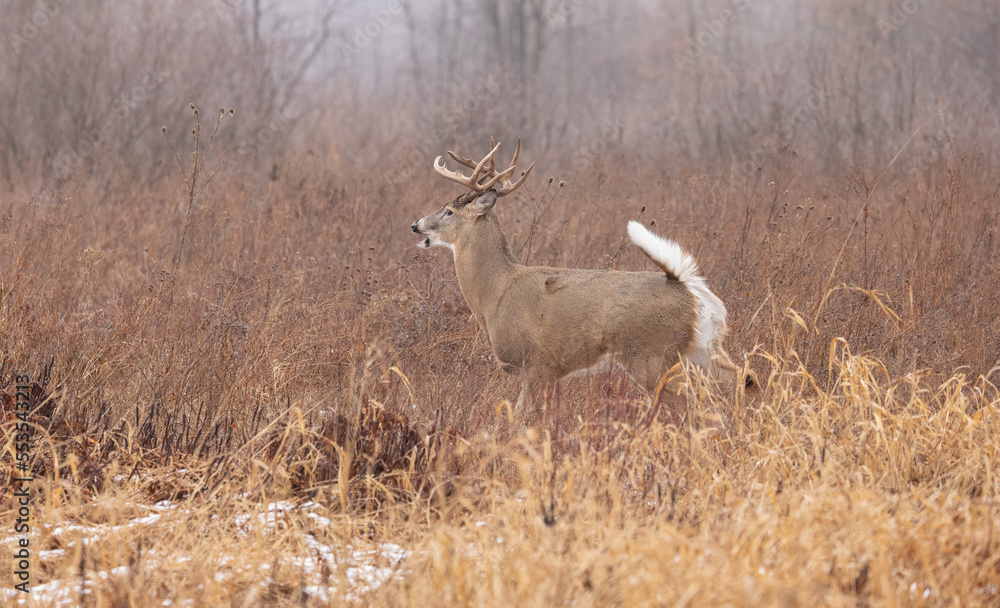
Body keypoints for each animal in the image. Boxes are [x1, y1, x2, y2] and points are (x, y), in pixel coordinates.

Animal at [411, 138, 753, 419]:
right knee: (744, 379)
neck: (496, 291)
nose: (416, 225)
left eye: (449, 210)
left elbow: (522, 422)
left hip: (652, 356)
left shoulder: (539, 364)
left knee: (698, 409)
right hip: (705, 349)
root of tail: (689, 289)